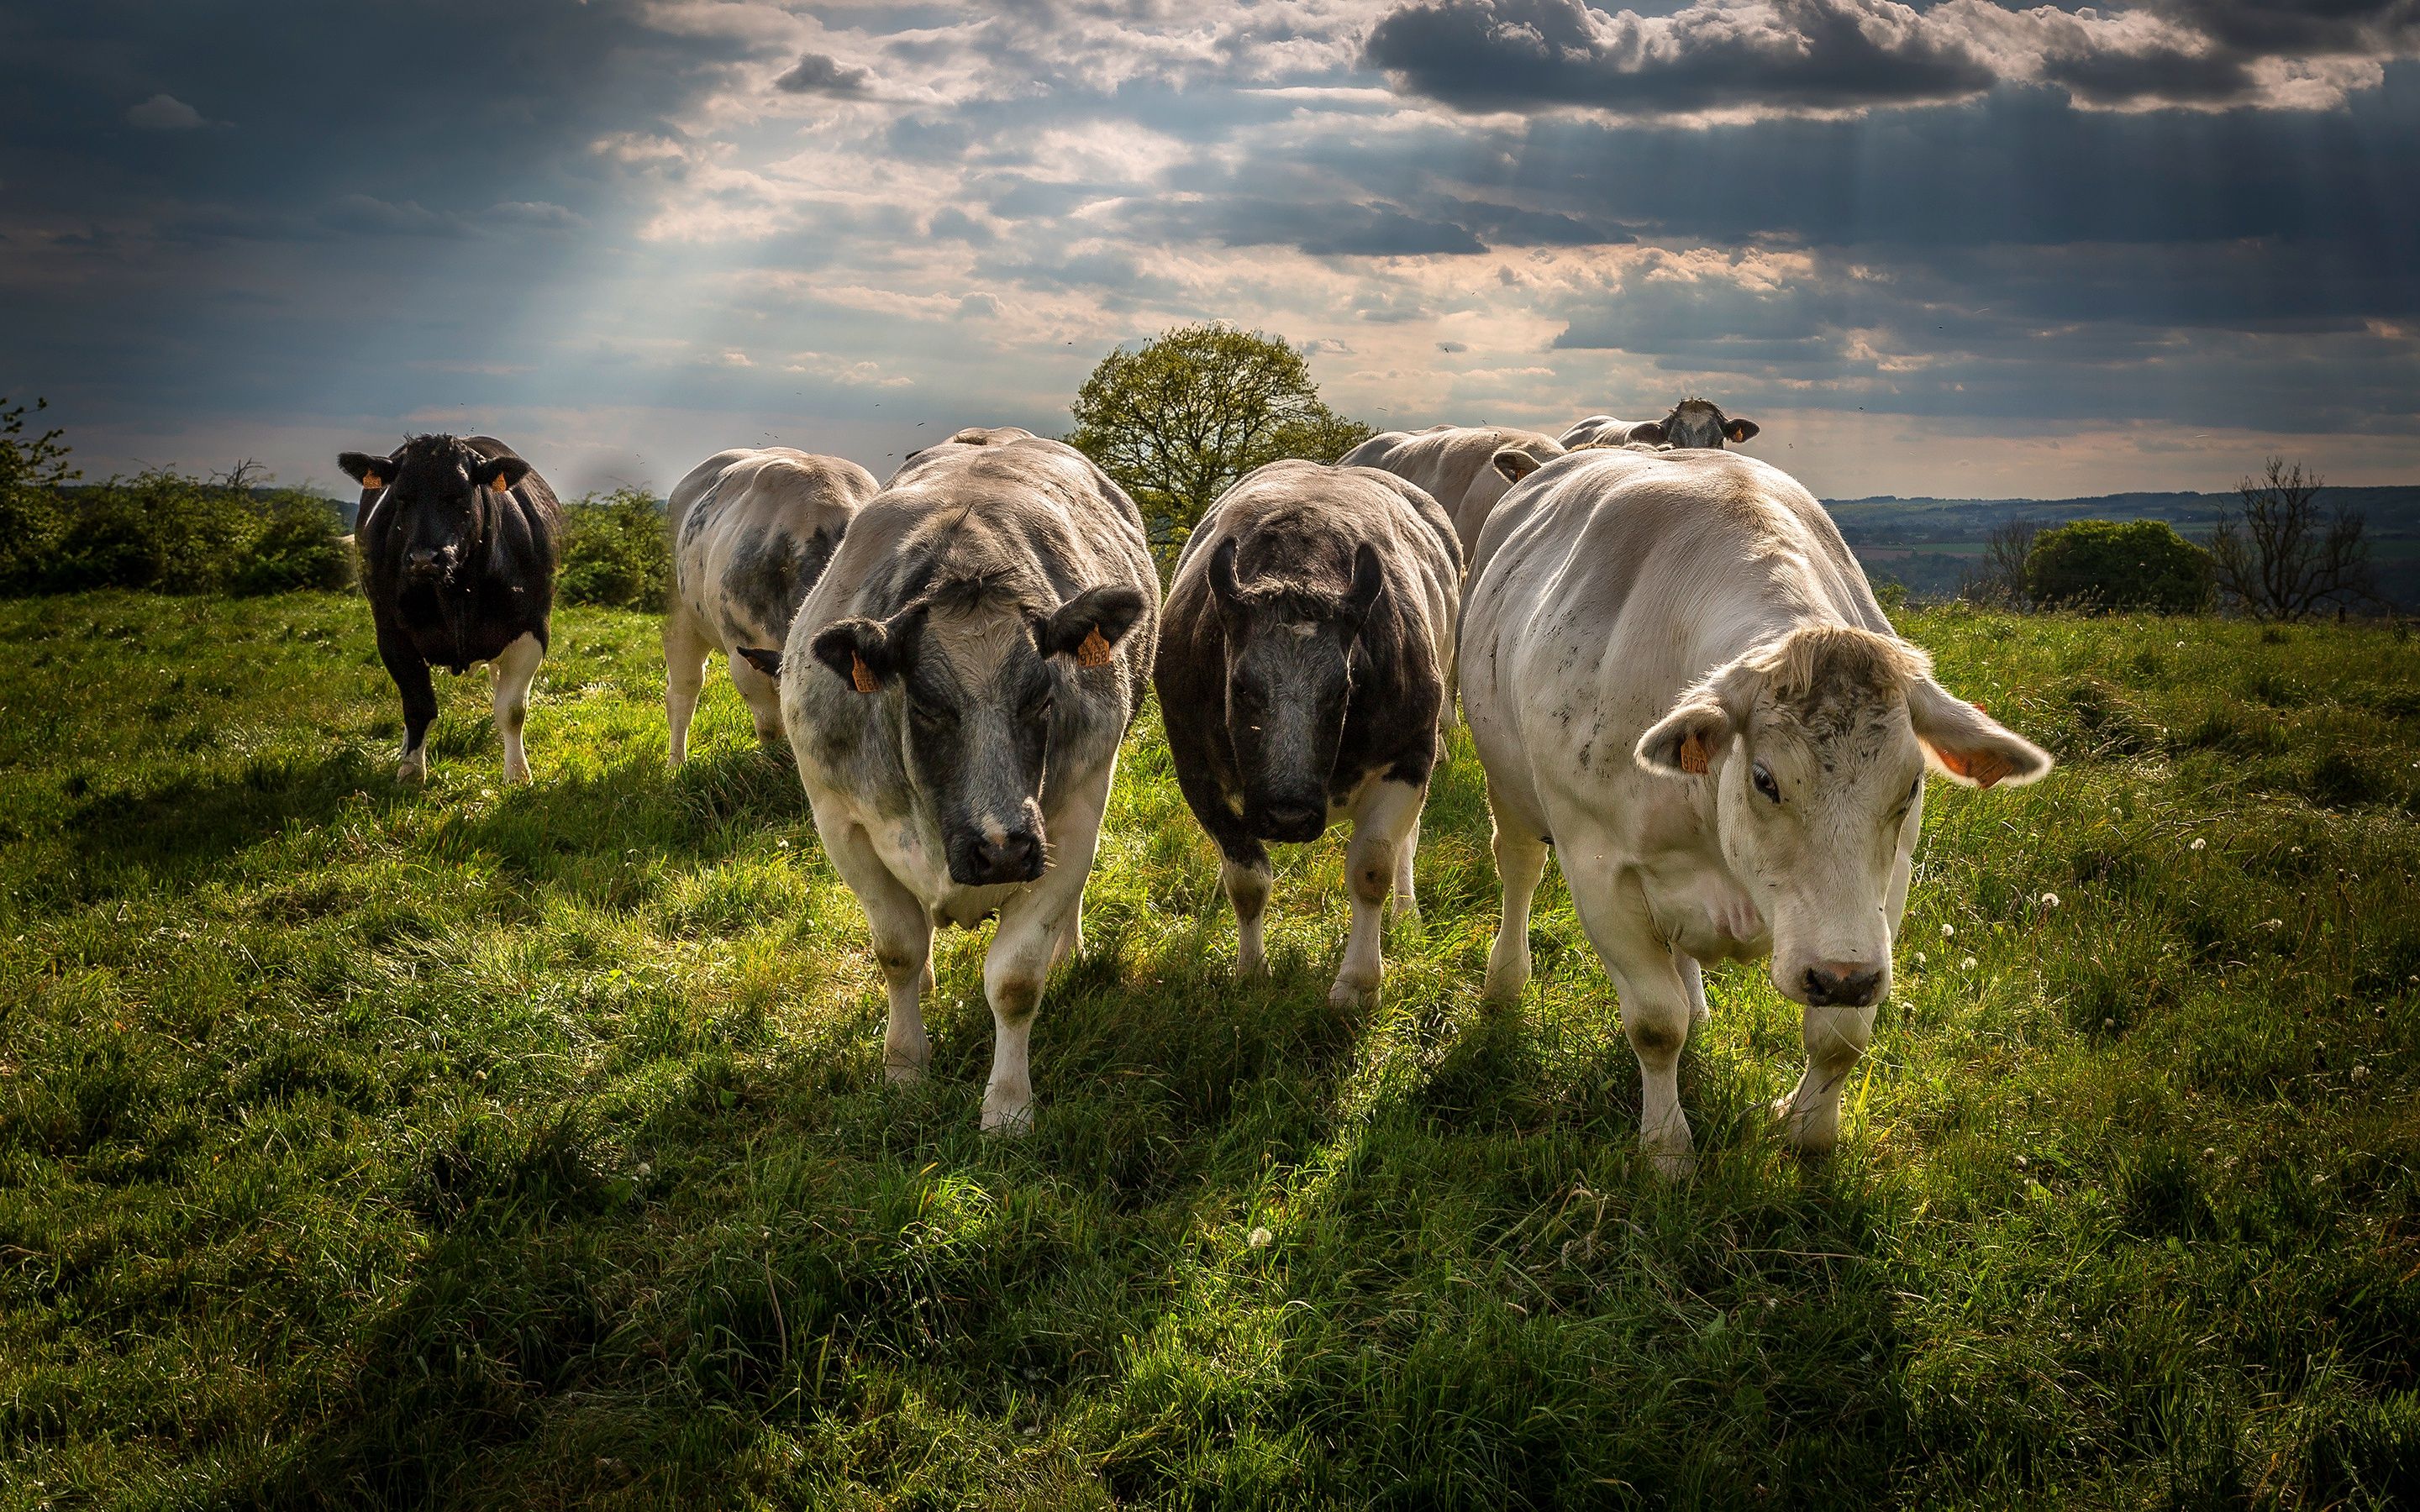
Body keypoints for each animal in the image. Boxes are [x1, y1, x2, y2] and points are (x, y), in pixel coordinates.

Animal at [336, 434, 560, 785]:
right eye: (401, 497)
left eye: (460, 496)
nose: (424, 559)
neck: (458, 594)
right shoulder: (392, 635)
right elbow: (417, 707)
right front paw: (411, 772)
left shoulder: (533, 629)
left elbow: (512, 709)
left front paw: (517, 774)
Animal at [738, 434, 1157, 1133]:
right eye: (929, 707)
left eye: (1042, 698)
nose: (1000, 849)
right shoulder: (841, 821)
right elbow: (898, 951)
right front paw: (905, 1069)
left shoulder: (1070, 818)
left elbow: (1015, 981)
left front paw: (1009, 1106)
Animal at [1155, 460, 1460, 1007]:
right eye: (1240, 686)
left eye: (1343, 688)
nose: (1288, 815)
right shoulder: (1196, 770)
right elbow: (1247, 878)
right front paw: (1251, 970)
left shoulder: (1409, 756)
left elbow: (1372, 869)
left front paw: (1359, 982)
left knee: (1405, 842)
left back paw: (1406, 908)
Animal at [1458, 446, 2049, 1177]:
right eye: (1765, 780)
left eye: (1911, 785)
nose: (1840, 975)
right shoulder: (1598, 869)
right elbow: (1655, 1023)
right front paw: (1667, 1151)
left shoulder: (1882, 893)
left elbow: (1839, 1036)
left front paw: (1807, 1132)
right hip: (1508, 791)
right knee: (1518, 872)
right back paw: (1506, 984)